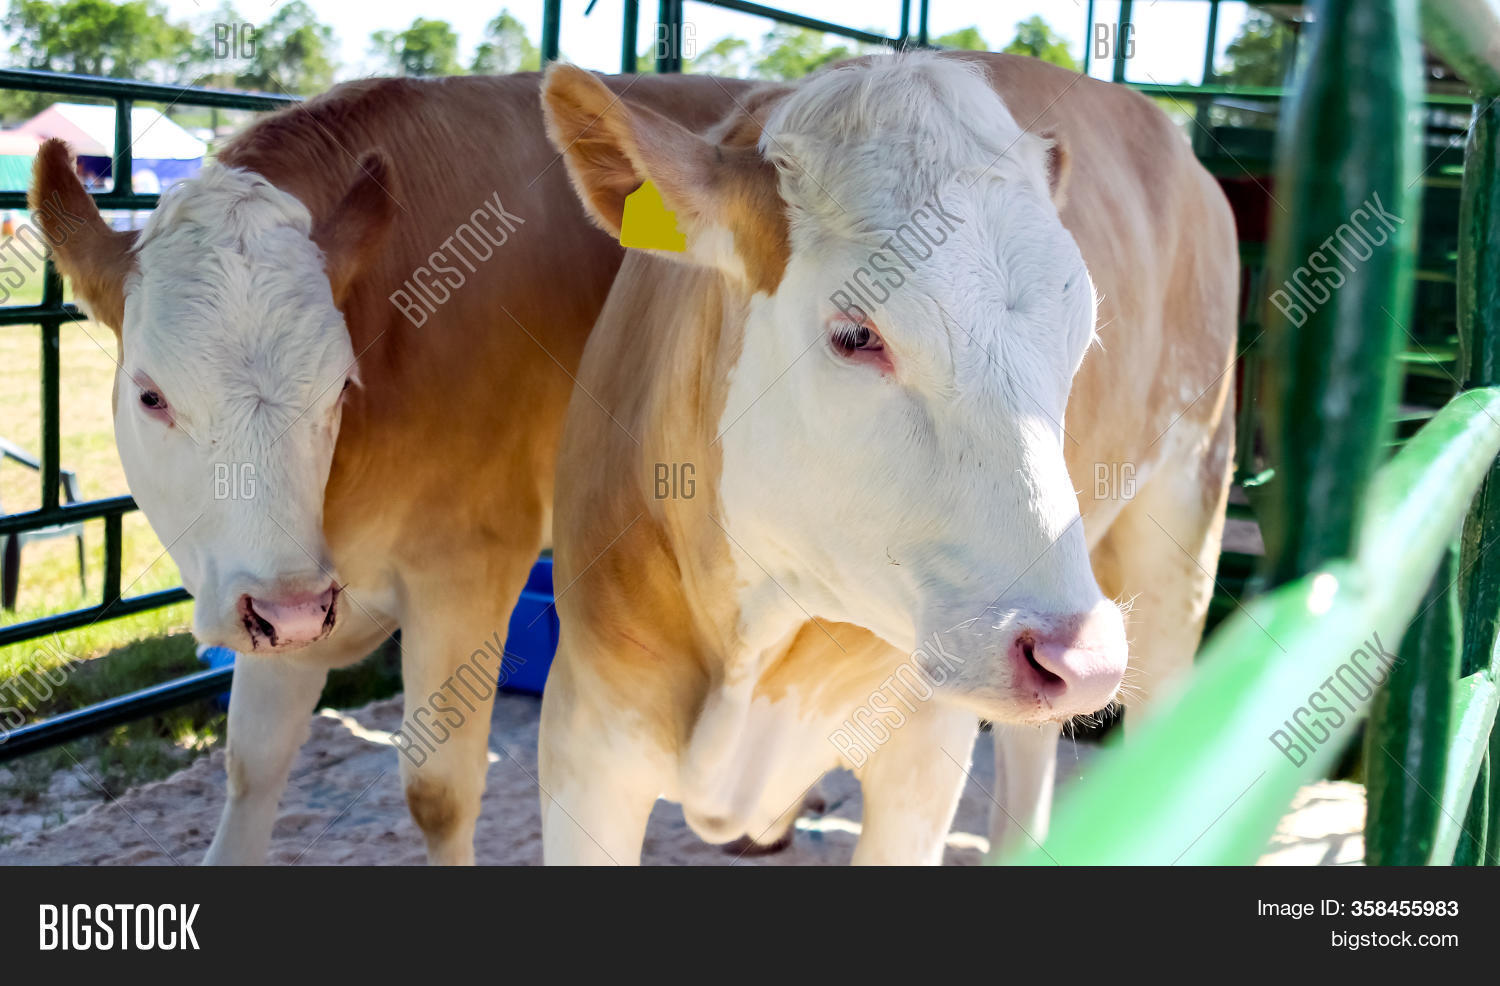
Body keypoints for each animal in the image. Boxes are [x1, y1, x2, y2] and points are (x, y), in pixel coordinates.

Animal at [29, 72, 757, 864]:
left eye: (340, 388)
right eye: (151, 396)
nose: (289, 609)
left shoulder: (467, 571)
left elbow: (439, 793)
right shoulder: (283, 593)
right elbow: (252, 766)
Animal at [537, 51, 1238, 864]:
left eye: (1079, 341)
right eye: (856, 335)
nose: (1081, 657)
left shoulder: (923, 760)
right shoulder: (586, 737)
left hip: (1186, 531)